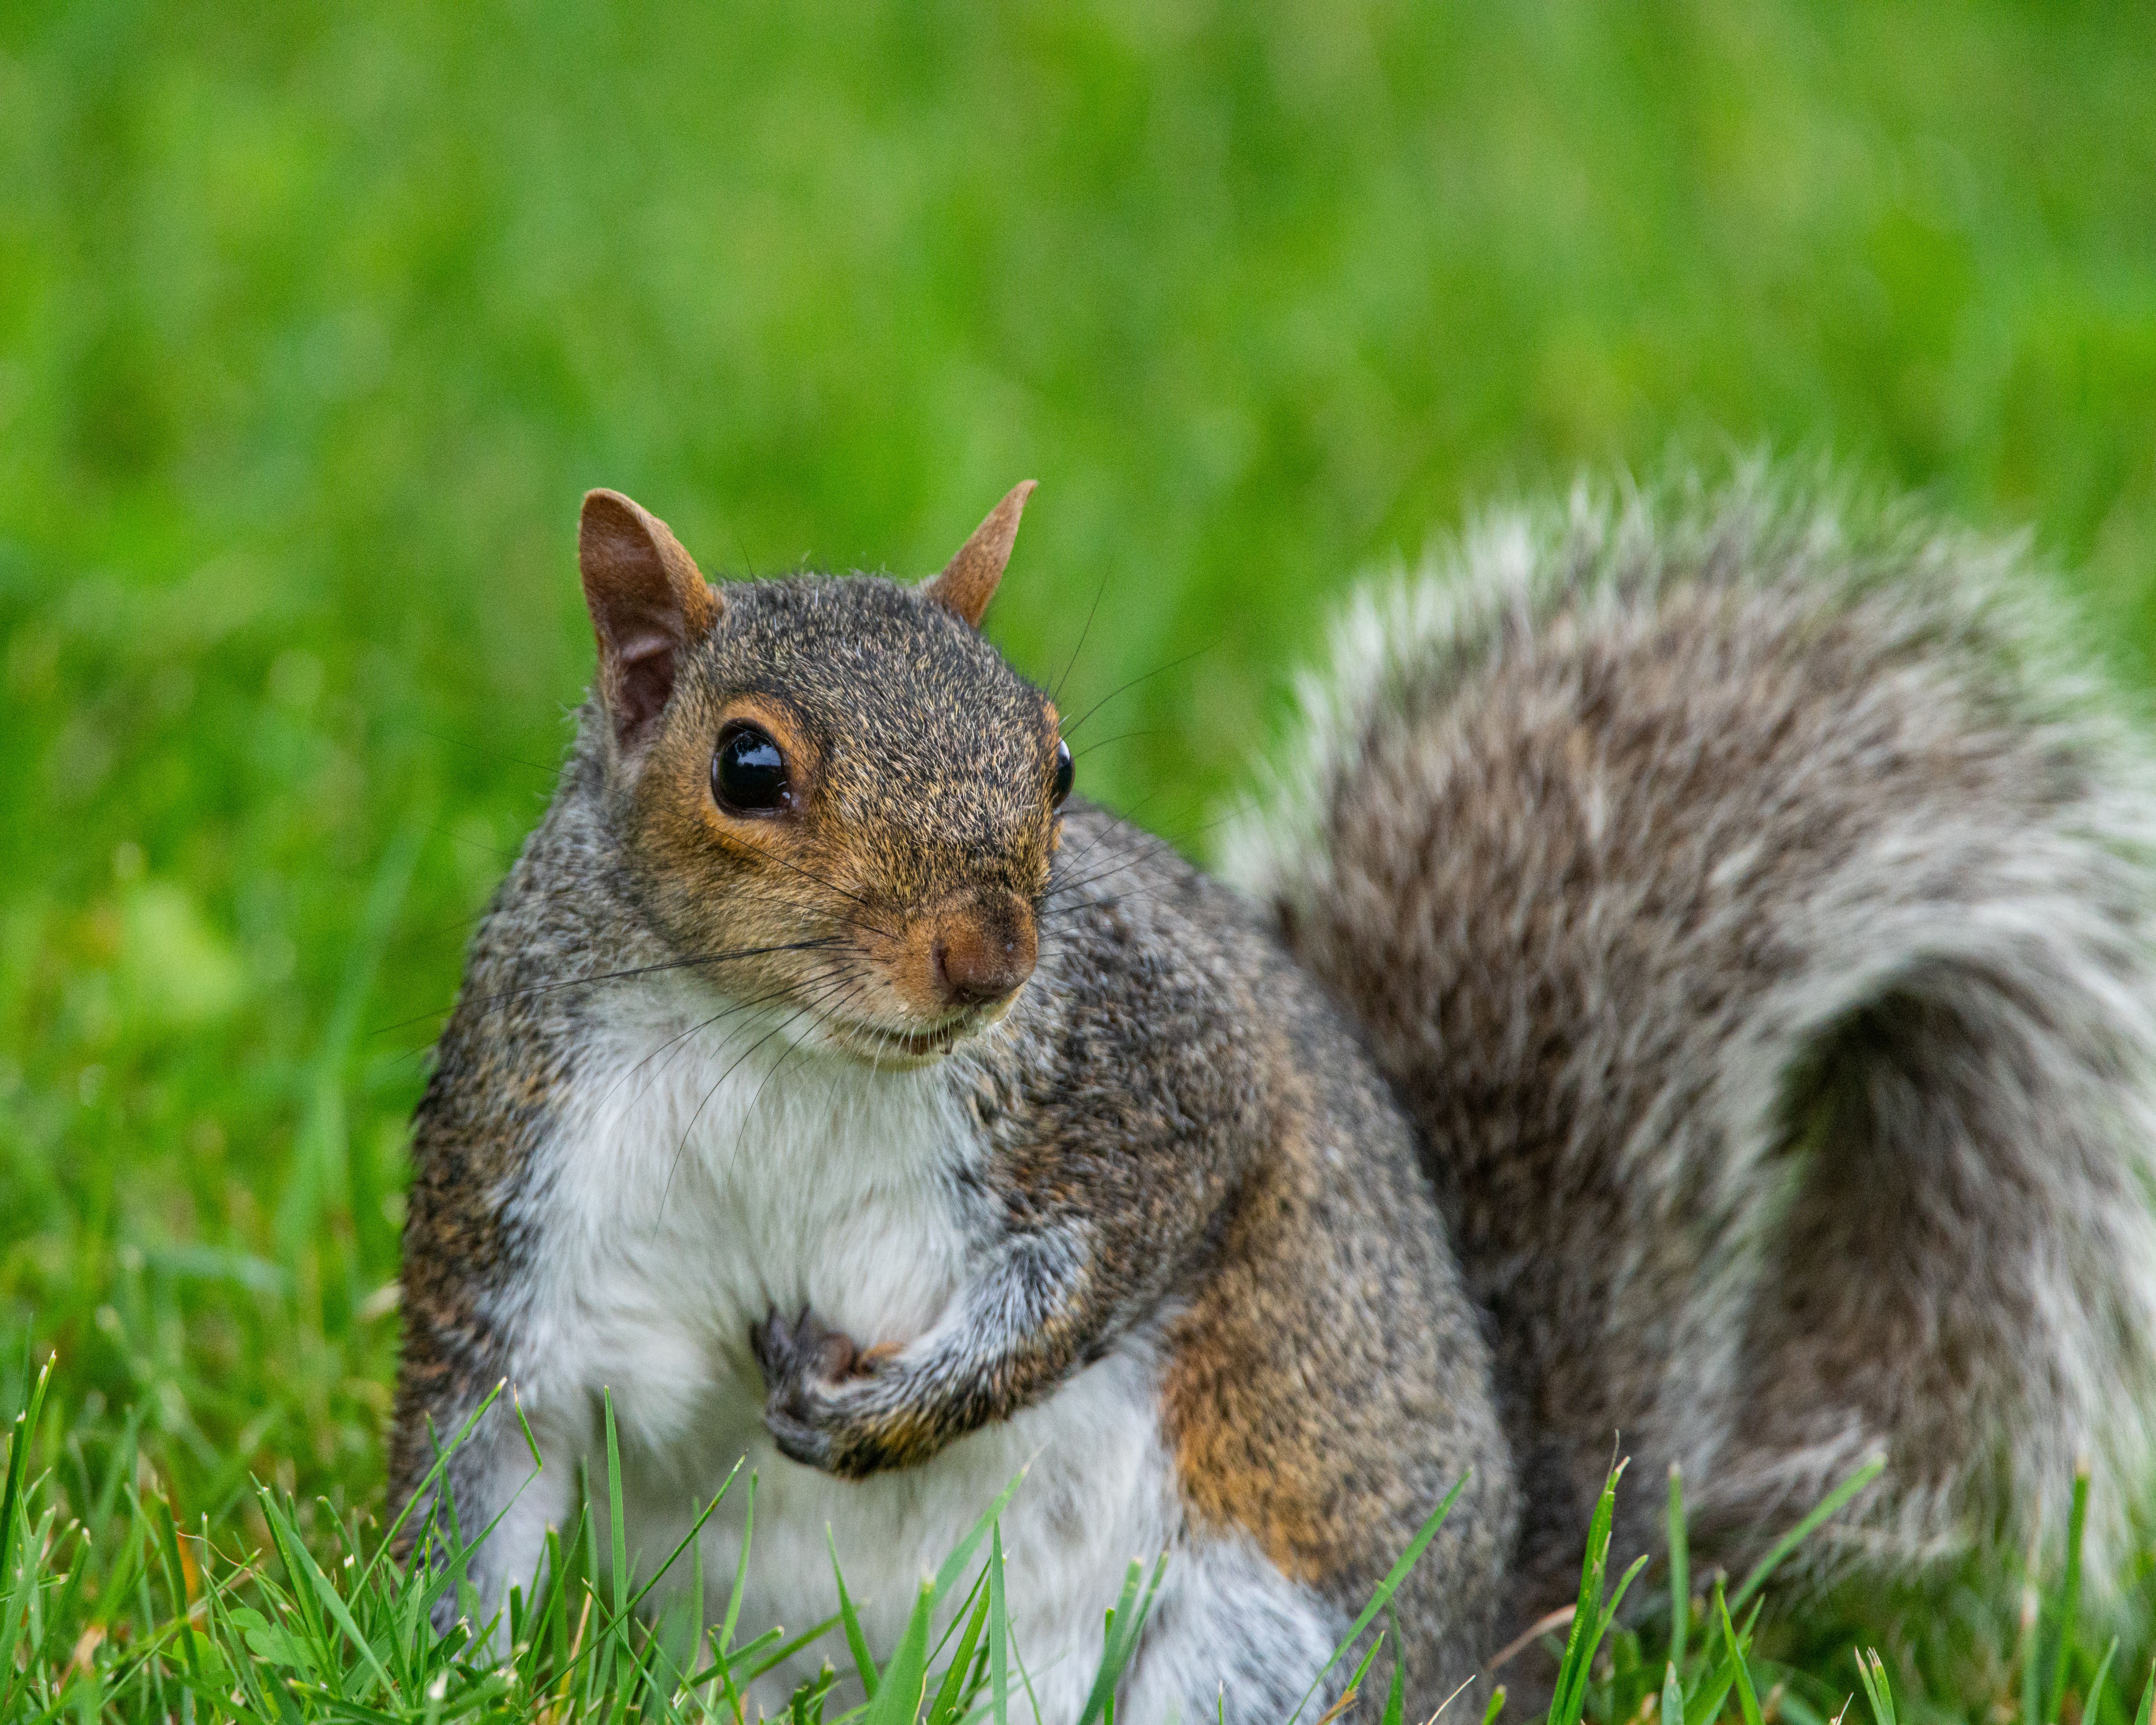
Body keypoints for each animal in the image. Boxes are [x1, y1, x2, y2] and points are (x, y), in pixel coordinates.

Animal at [390, 474, 2156, 1723]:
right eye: (746, 767)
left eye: (1053, 765)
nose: (988, 956)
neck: (782, 1048)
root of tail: (1486, 1649)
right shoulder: (516, 1180)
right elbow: (475, 1454)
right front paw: (452, 1668)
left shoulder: (1164, 1072)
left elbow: (1119, 1249)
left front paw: (891, 1411)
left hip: (1259, 1635)